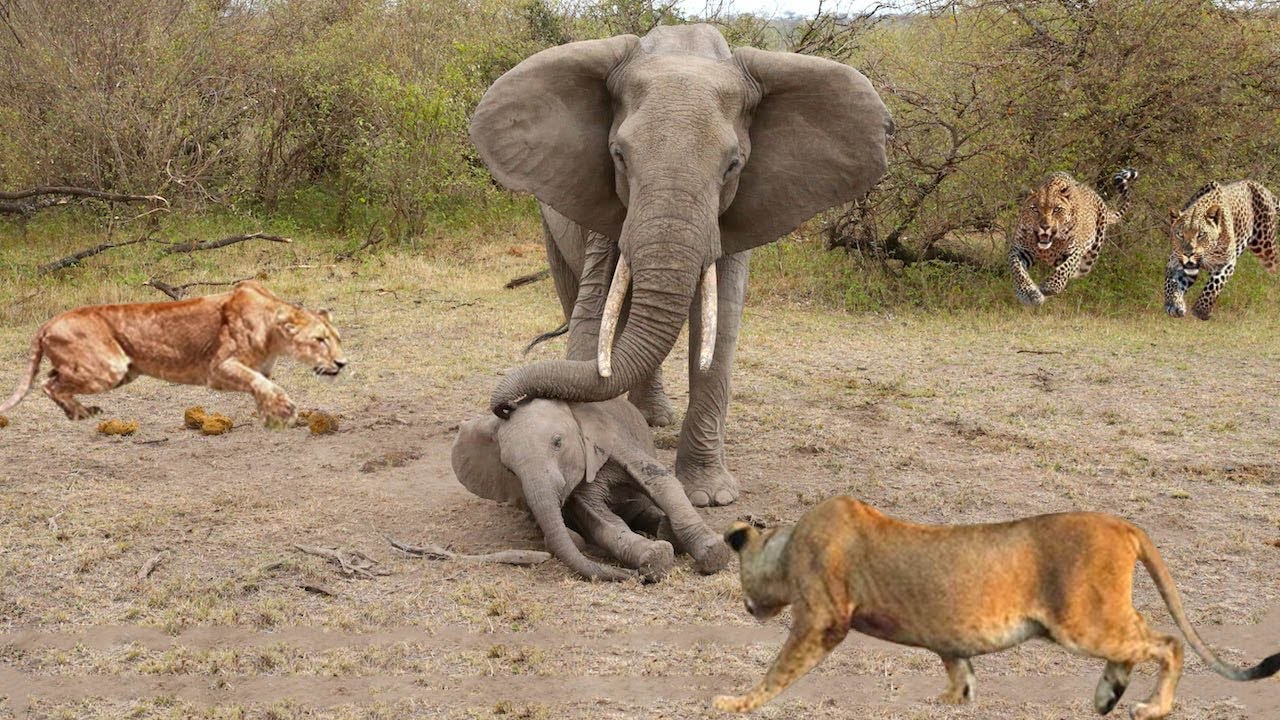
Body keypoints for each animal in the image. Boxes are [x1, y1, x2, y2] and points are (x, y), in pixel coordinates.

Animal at [451, 396, 732, 582]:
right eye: (509, 469)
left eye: (558, 442)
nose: (631, 576)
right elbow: (600, 523)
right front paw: (655, 557)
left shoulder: (613, 437)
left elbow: (662, 483)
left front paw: (714, 553)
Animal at [470, 23, 892, 507]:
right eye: (618, 156)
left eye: (733, 165)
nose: (505, 406)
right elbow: (594, 312)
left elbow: (721, 324)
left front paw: (710, 496)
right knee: (579, 295)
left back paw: (654, 421)